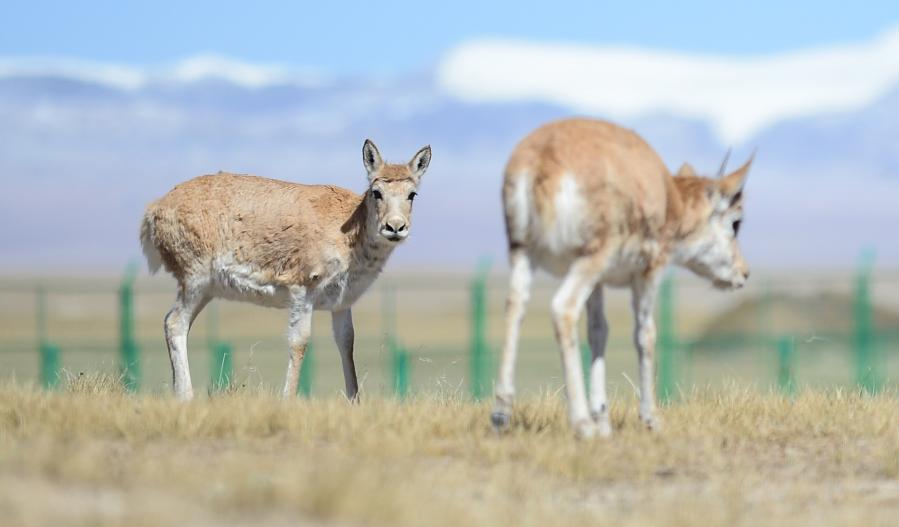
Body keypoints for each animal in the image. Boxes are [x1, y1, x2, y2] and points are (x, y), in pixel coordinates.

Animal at [140, 140, 432, 400]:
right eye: (376, 191)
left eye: (412, 194)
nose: (395, 227)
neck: (348, 227)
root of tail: (154, 208)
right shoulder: (303, 290)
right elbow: (299, 341)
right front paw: (288, 399)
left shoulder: (341, 301)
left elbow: (347, 342)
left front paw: (354, 401)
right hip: (194, 281)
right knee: (174, 323)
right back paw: (186, 396)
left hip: (206, 291)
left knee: (177, 324)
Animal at [491, 118, 751, 438]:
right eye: (736, 223)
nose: (743, 273)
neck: (669, 198)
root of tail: (541, 160)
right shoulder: (648, 272)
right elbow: (645, 334)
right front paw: (651, 419)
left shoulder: (599, 283)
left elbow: (598, 331)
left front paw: (604, 422)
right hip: (589, 259)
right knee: (563, 309)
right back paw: (581, 424)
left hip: (524, 255)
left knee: (515, 305)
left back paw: (501, 414)